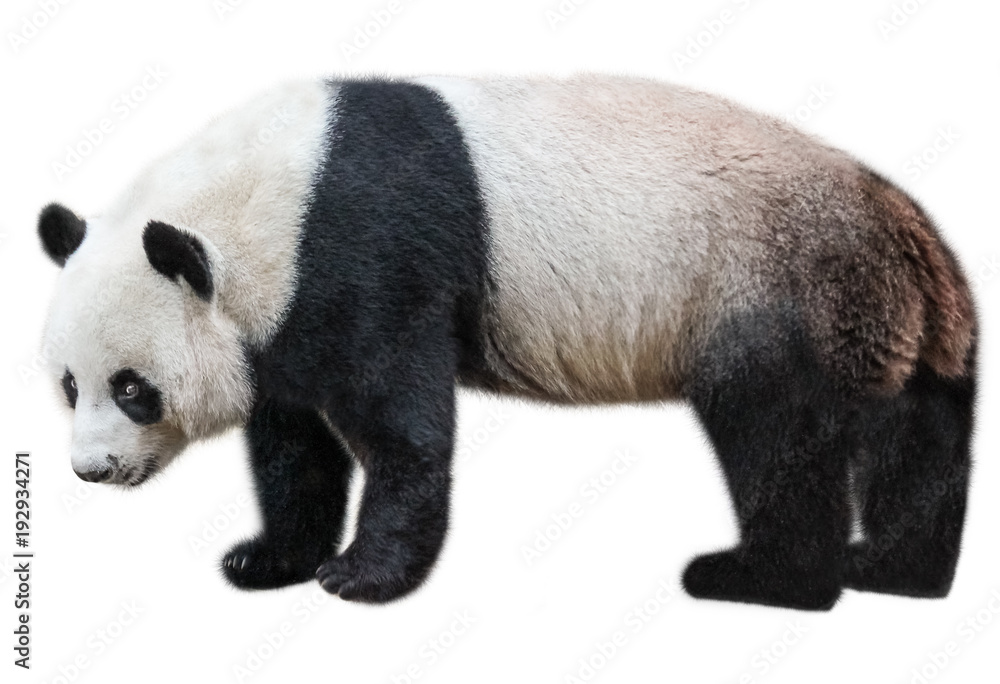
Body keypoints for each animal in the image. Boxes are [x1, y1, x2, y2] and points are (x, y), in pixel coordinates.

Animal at [38, 75, 977, 611]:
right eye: (68, 385)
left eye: (132, 387)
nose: (92, 471)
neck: (266, 203)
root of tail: (902, 225)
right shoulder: (278, 318)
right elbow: (292, 444)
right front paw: (267, 559)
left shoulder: (365, 248)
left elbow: (399, 425)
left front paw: (360, 577)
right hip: (888, 320)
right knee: (918, 439)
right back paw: (893, 571)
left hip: (770, 283)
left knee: (775, 432)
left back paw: (761, 579)